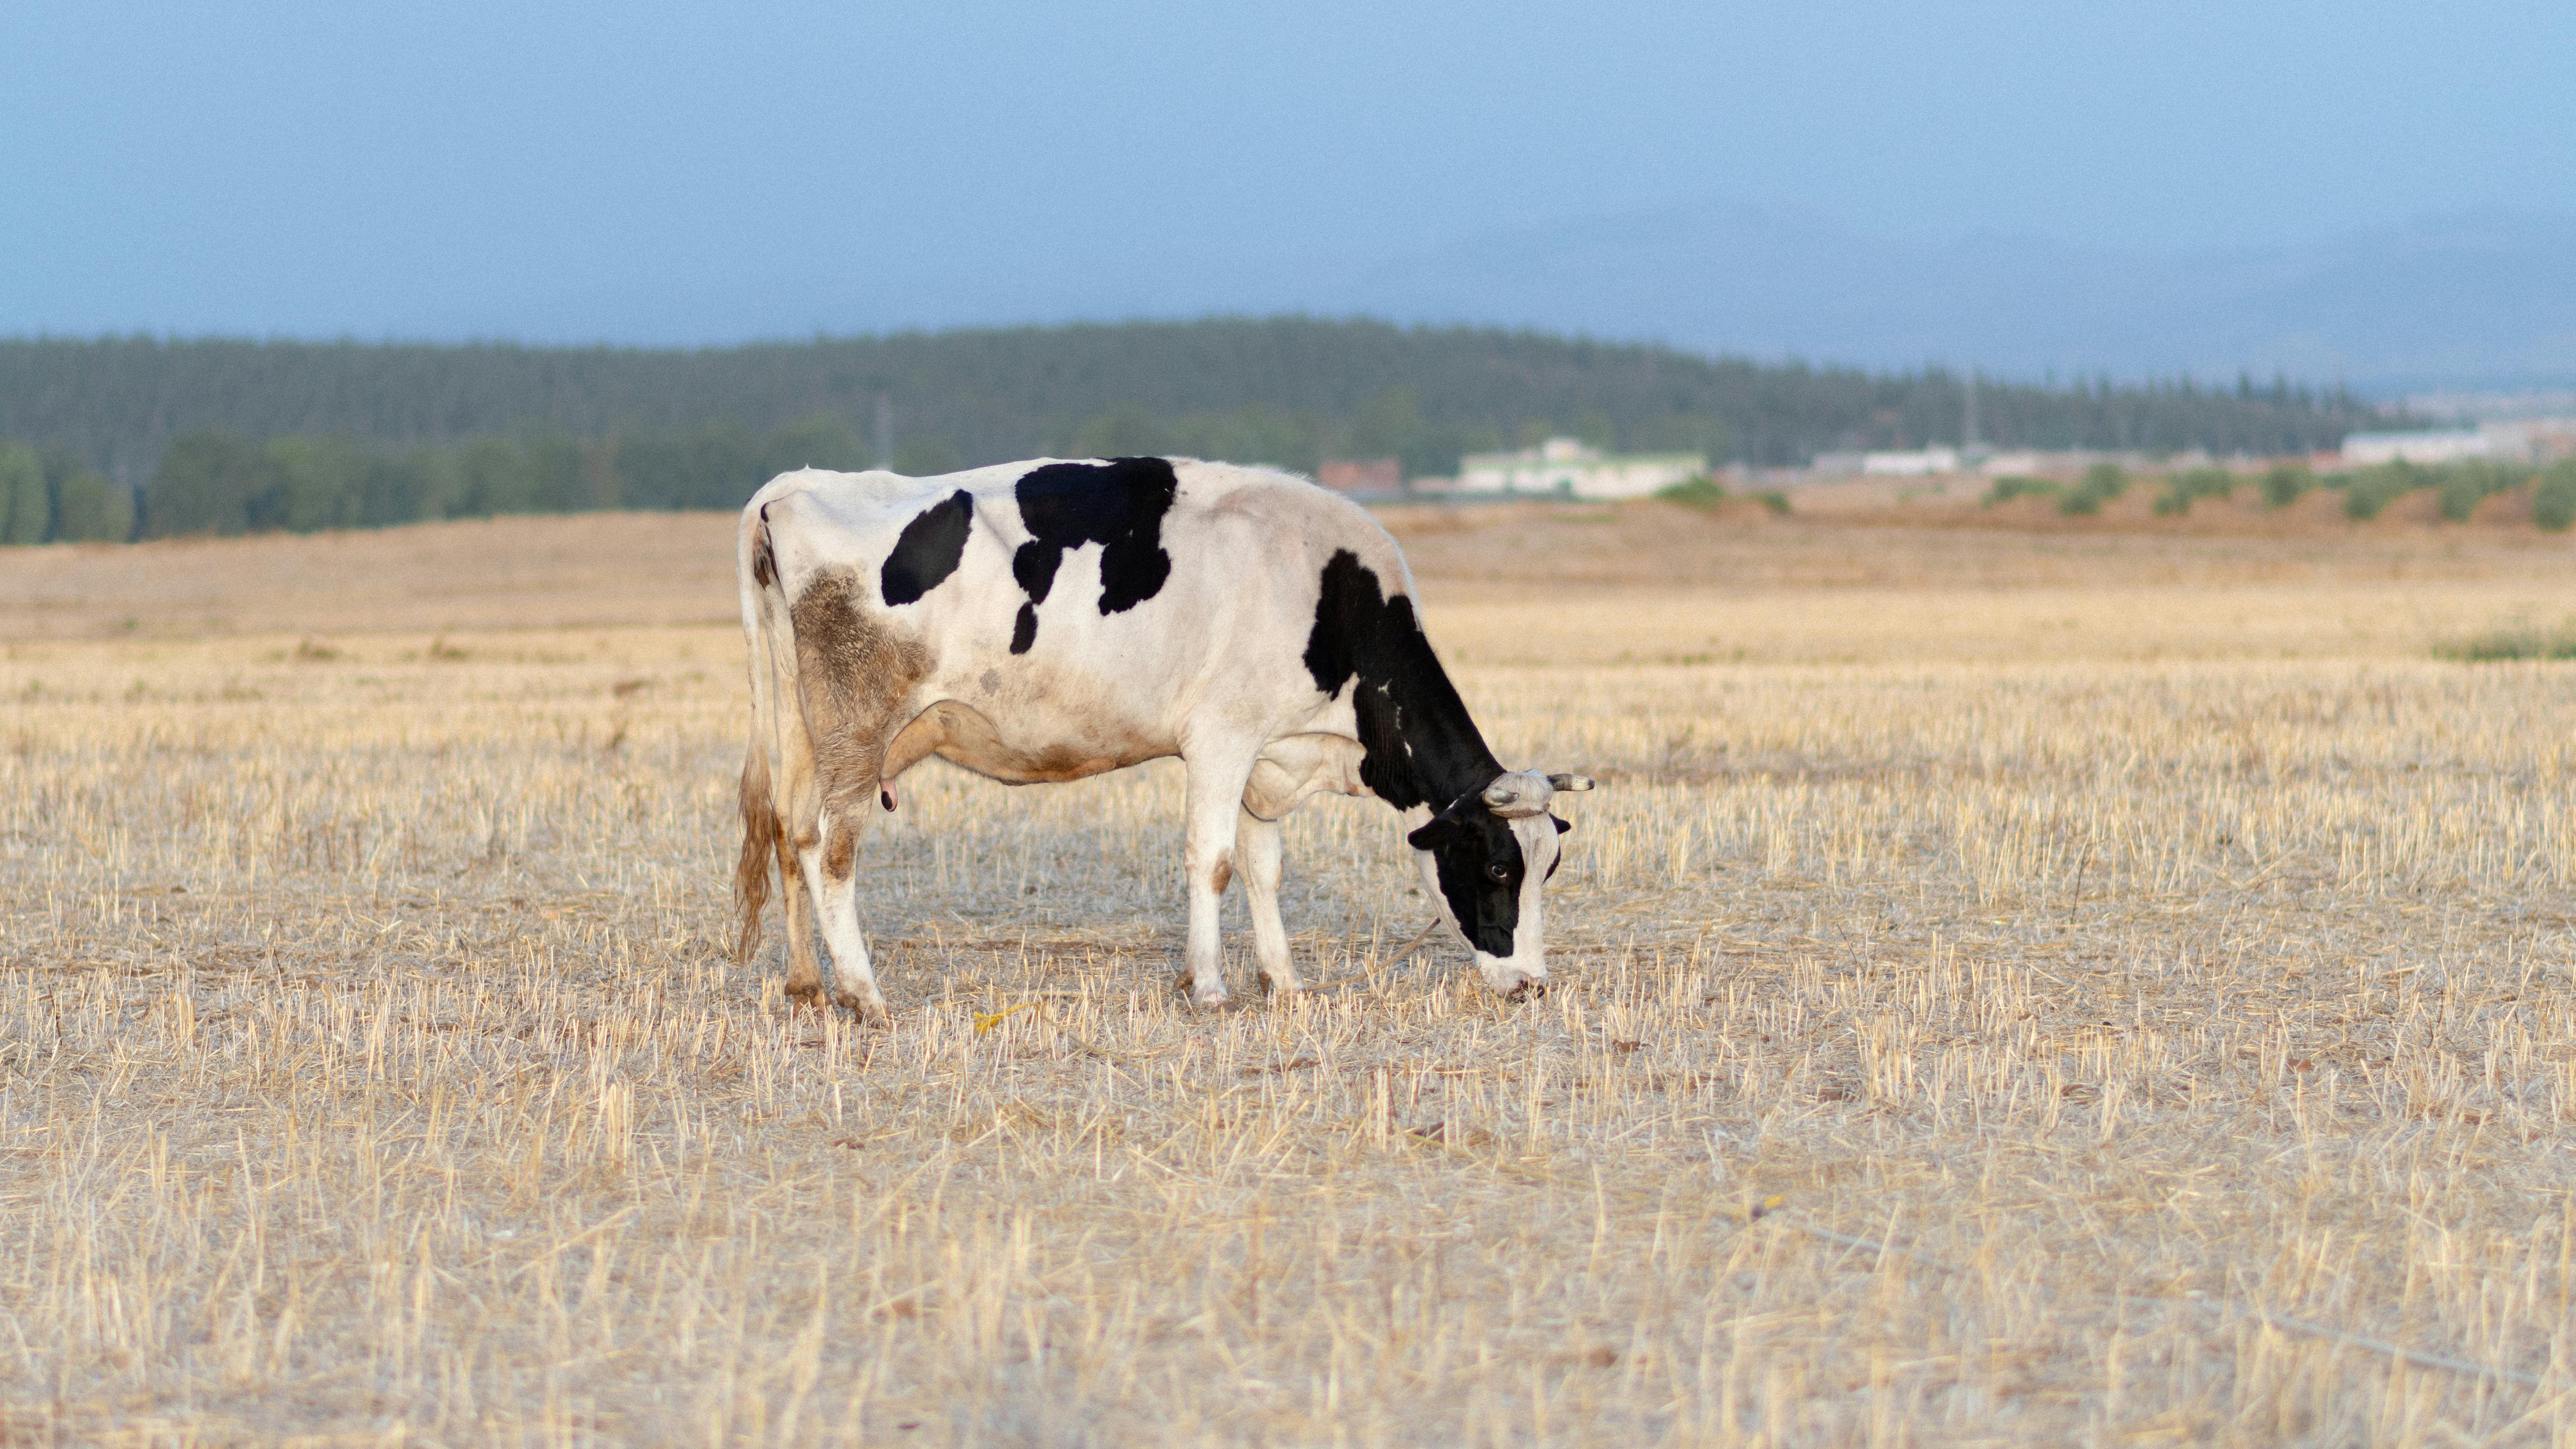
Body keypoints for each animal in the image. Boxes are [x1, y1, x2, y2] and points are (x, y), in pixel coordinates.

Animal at [732, 456, 1592, 1023]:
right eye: (1496, 867)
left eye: (1550, 864)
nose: (1532, 984)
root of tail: (799, 484)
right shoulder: (1221, 737)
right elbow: (1212, 861)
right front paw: (1207, 987)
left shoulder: (1265, 755)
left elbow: (1264, 869)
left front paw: (1284, 981)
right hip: (857, 730)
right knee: (831, 849)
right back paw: (864, 993)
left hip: (800, 729)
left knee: (788, 834)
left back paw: (807, 985)